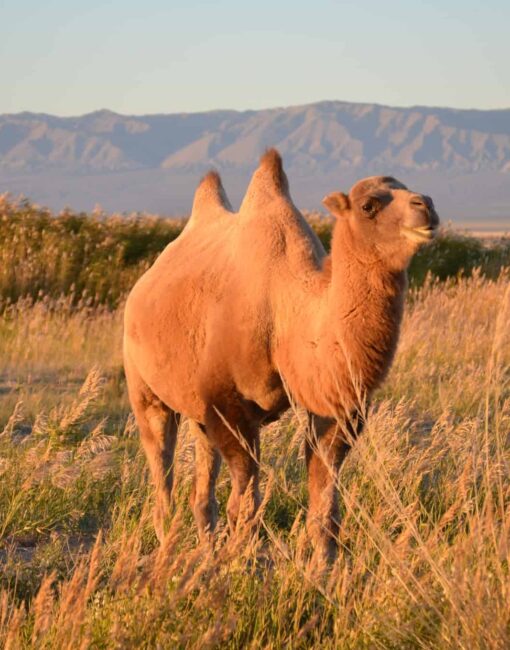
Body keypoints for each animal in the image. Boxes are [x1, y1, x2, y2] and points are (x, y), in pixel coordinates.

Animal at [123, 149, 439, 561]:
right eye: (369, 205)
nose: (427, 205)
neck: (286, 312)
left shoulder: (334, 405)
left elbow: (324, 499)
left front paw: (324, 565)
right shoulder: (228, 403)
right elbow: (245, 500)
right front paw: (242, 562)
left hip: (197, 411)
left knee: (202, 487)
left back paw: (206, 552)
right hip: (144, 388)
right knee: (162, 470)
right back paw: (170, 552)